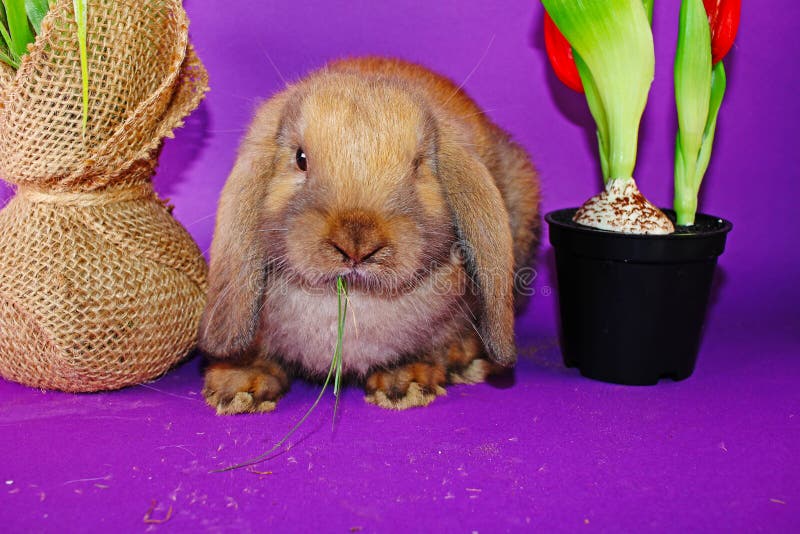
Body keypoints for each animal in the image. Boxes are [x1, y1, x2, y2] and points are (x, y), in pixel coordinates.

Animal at [199, 57, 540, 414]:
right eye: (300, 158)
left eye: (418, 166)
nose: (356, 244)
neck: (352, 297)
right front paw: (238, 386)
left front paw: (406, 382)